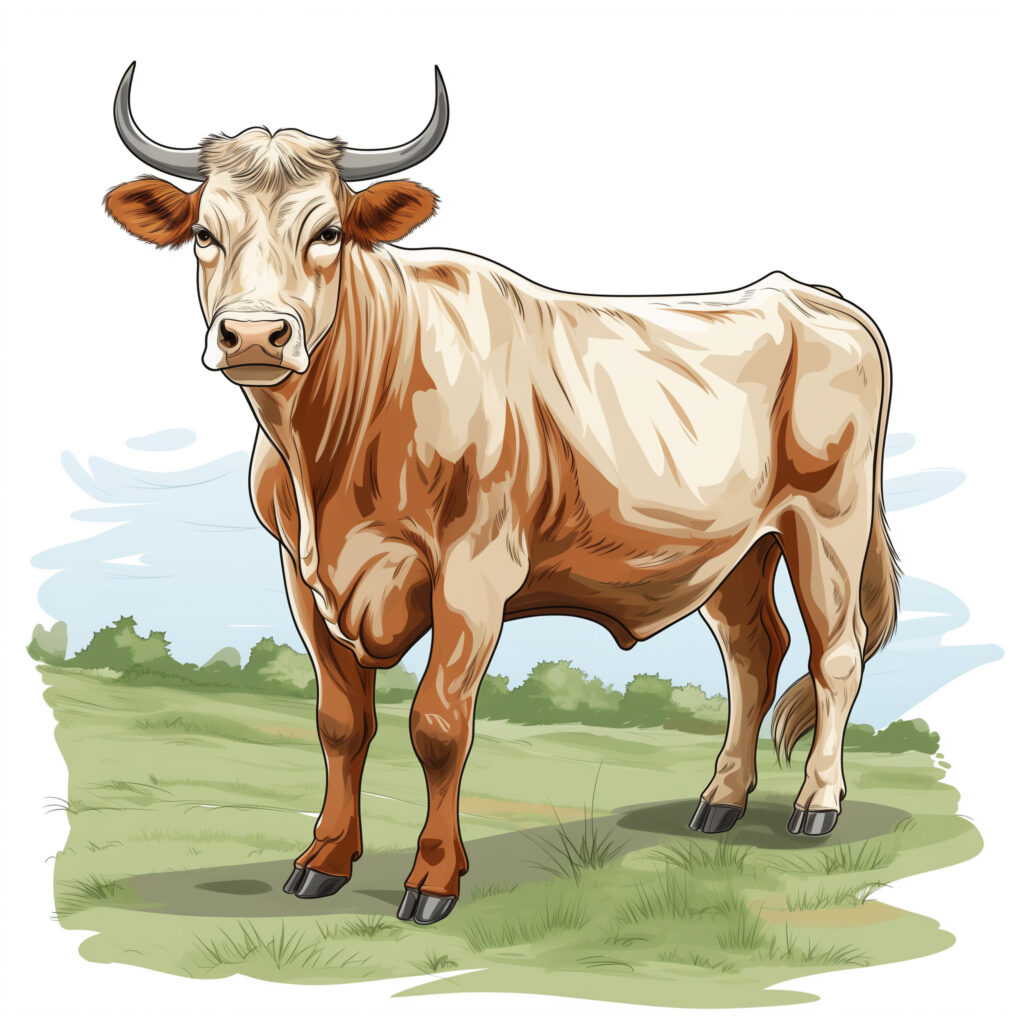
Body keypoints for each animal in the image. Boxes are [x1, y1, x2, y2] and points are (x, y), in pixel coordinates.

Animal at [105, 63, 899, 926]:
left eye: (329, 232)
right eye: (204, 234)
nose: (254, 336)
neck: (336, 458)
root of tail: (808, 295)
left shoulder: (475, 573)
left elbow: (439, 725)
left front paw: (432, 880)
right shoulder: (301, 574)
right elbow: (340, 723)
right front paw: (322, 861)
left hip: (828, 520)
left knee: (836, 654)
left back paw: (816, 805)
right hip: (733, 549)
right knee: (756, 652)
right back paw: (719, 800)